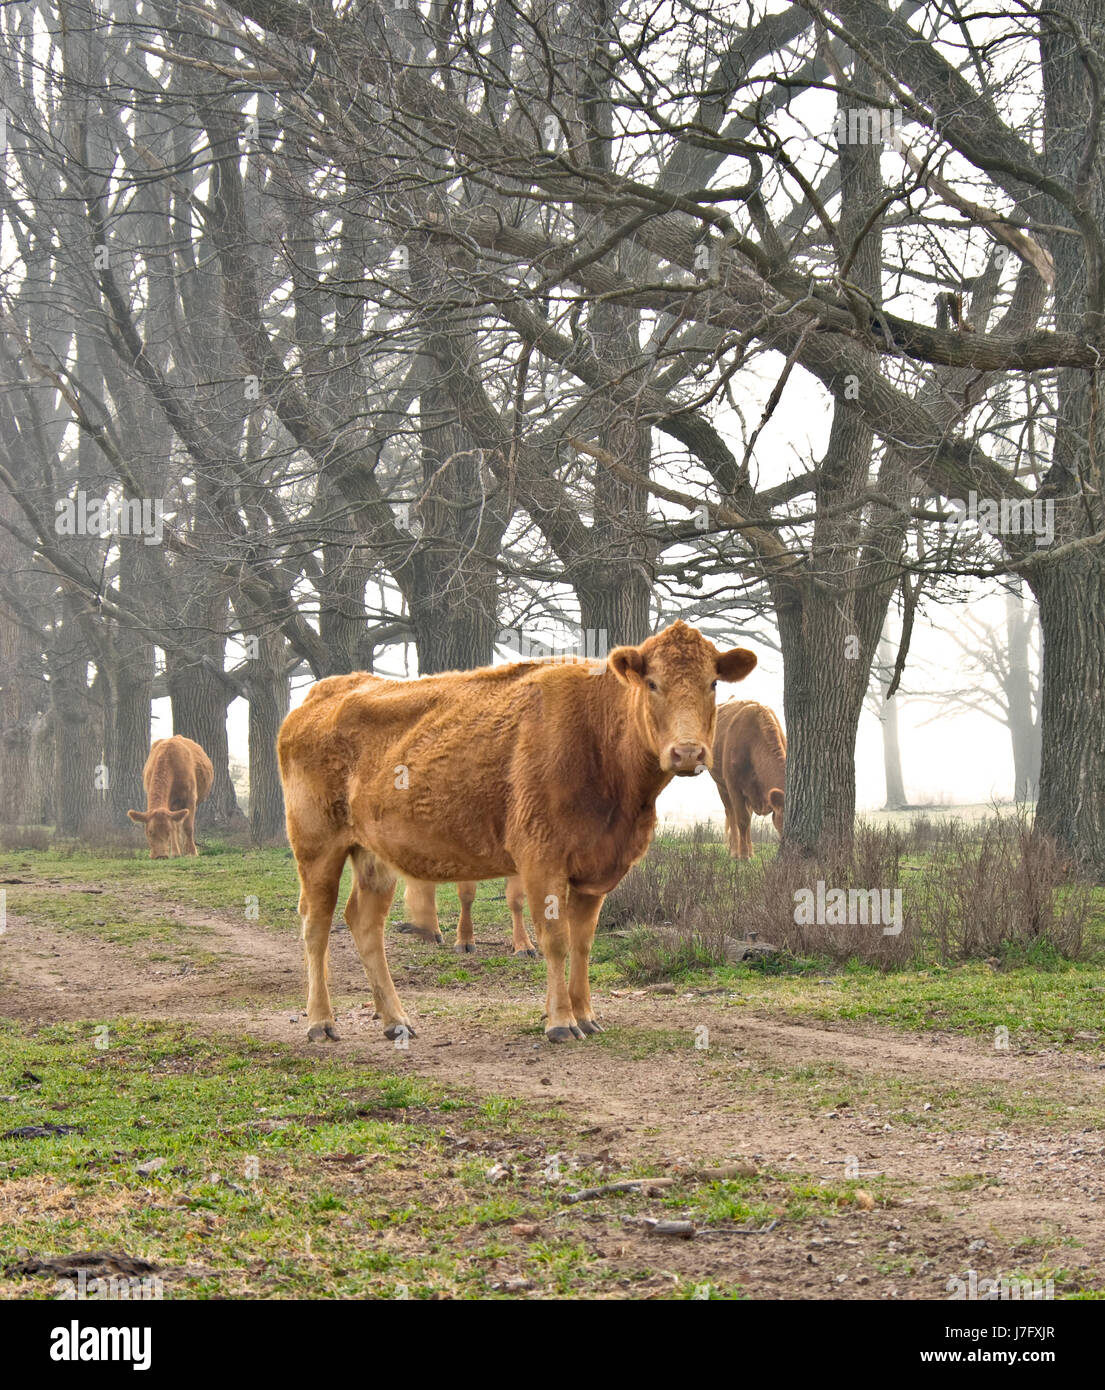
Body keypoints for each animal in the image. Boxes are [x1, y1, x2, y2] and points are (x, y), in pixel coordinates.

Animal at [709, 700, 786, 859]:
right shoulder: (734, 786)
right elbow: (742, 820)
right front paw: (743, 856)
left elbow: (748, 819)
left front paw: (748, 853)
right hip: (722, 785)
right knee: (731, 813)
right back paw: (734, 851)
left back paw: (750, 851)